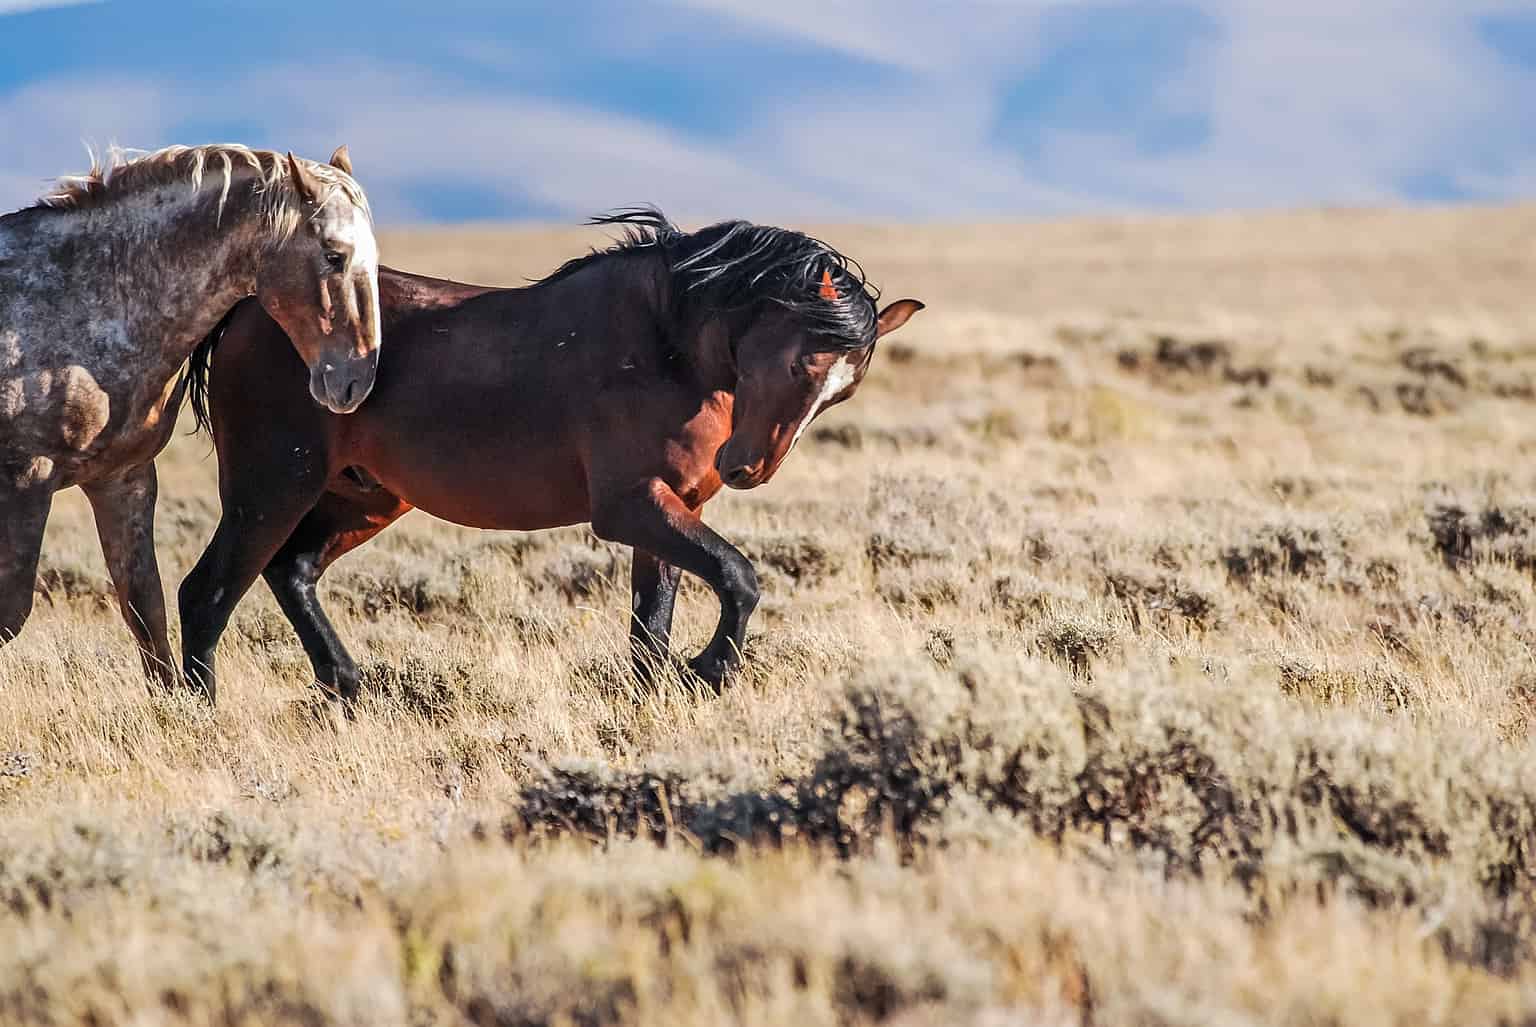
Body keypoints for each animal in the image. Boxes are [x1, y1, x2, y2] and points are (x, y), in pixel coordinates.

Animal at [0, 143, 382, 687]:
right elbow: (12, 613)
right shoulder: (26, 480)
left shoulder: (123, 479)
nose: (356, 379)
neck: (87, 302)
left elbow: (145, 610)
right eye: (334, 254)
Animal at [177, 209, 922, 702]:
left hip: (364, 496)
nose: (747, 468)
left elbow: (651, 626)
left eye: (842, 389)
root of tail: (249, 311)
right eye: (802, 363)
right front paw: (708, 672)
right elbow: (739, 576)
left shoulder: (671, 508)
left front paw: (656, 693)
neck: (667, 345)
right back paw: (203, 711)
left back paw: (349, 687)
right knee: (207, 592)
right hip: (273, 485)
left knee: (292, 571)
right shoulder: (629, 507)